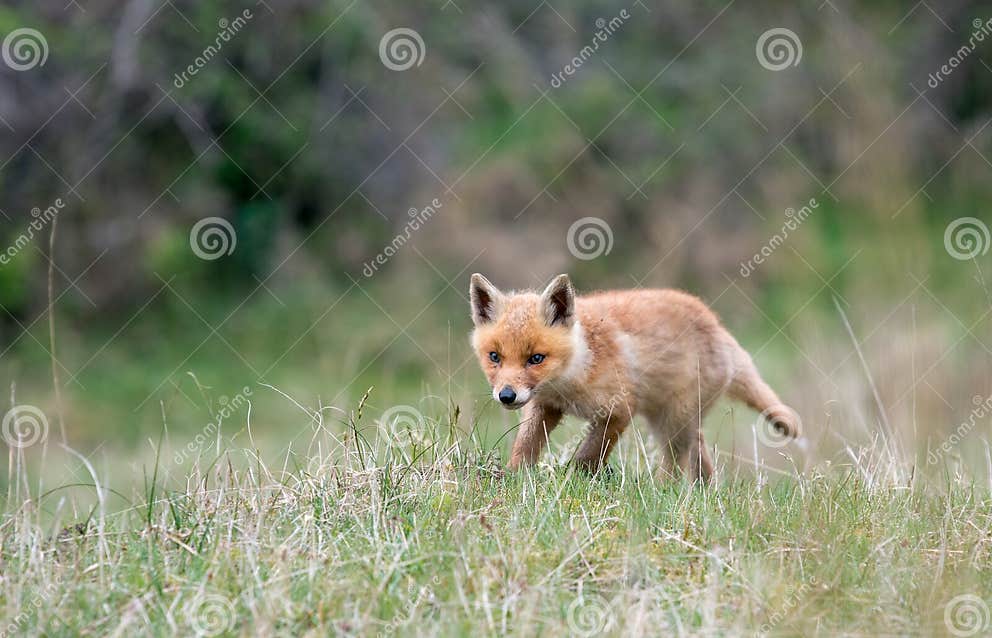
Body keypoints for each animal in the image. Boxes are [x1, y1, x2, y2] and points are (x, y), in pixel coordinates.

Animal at [469, 273, 800, 481]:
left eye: (536, 358)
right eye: (494, 357)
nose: (506, 396)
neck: (575, 373)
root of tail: (718, 327)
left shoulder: (618, 410)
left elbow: (588, 455)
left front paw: (575, 479)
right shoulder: (545, 406)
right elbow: (525, 444)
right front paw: (513, 475)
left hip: (673, 422)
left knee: (675, 464)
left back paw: (662, 490)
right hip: (672, 420)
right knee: (700, 458)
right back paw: (703, 491)